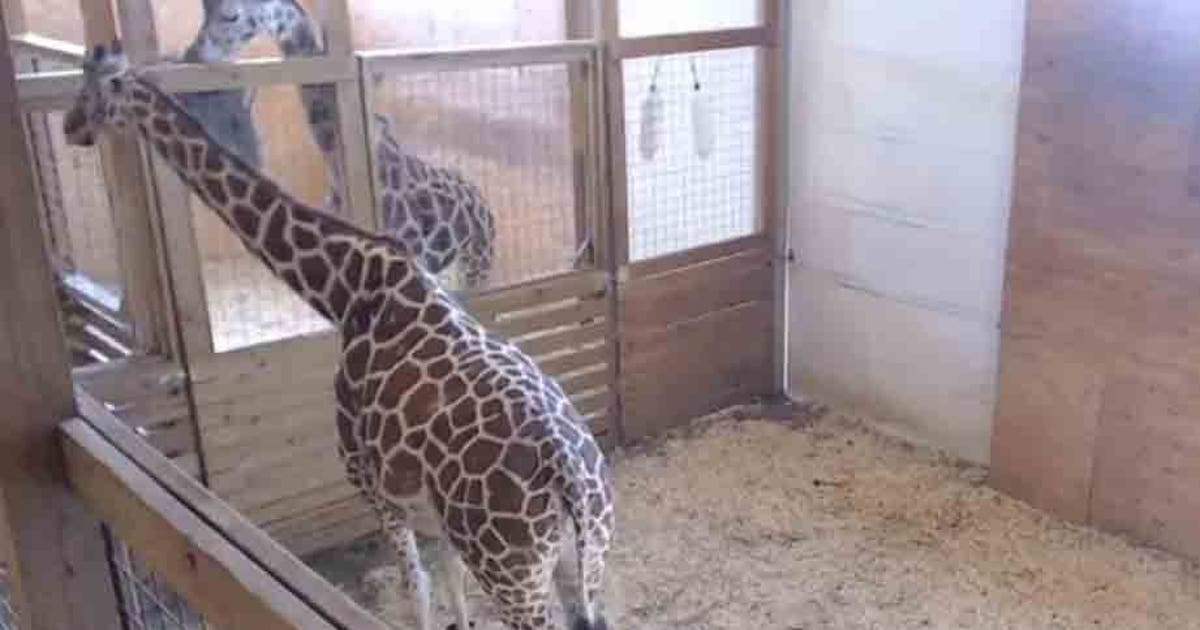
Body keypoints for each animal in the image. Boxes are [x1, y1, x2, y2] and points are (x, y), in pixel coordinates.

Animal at [63, 42, 613, 630]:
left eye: (90, 91)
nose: (71, 127)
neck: (346, 289)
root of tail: (570, 475)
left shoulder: (367, 481)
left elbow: (416, 588)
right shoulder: (431, 512)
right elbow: (449, 582)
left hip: (514, 574)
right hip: (582, 556)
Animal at [186, 0, 497, 290]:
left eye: (231, 15)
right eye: (203, 8)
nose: (192, 54)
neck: (334, 160)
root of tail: (484, 204)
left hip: (475, 265)